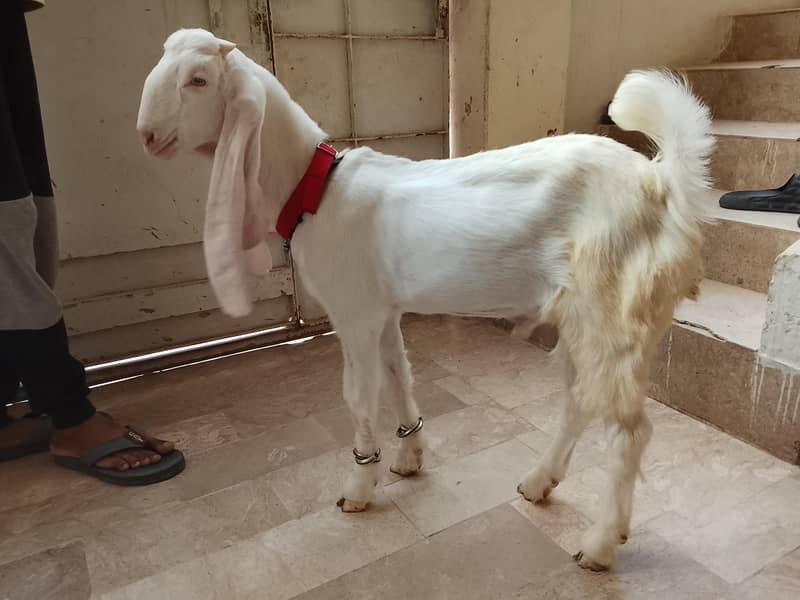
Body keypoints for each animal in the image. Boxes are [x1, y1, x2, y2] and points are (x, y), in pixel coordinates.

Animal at [137, 28, 712, 571]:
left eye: (197, 80)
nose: (147, 135)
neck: (314, 189)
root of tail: (663, 186)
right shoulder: (384, 310)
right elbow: (399, 374)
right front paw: (409, 455)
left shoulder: (354, 312)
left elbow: (358, 395)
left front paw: (358, 488)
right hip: (586, 317)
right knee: (579, 402)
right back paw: (538, 482)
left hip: (612, 310)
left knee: (630, 432)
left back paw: (599, 543)